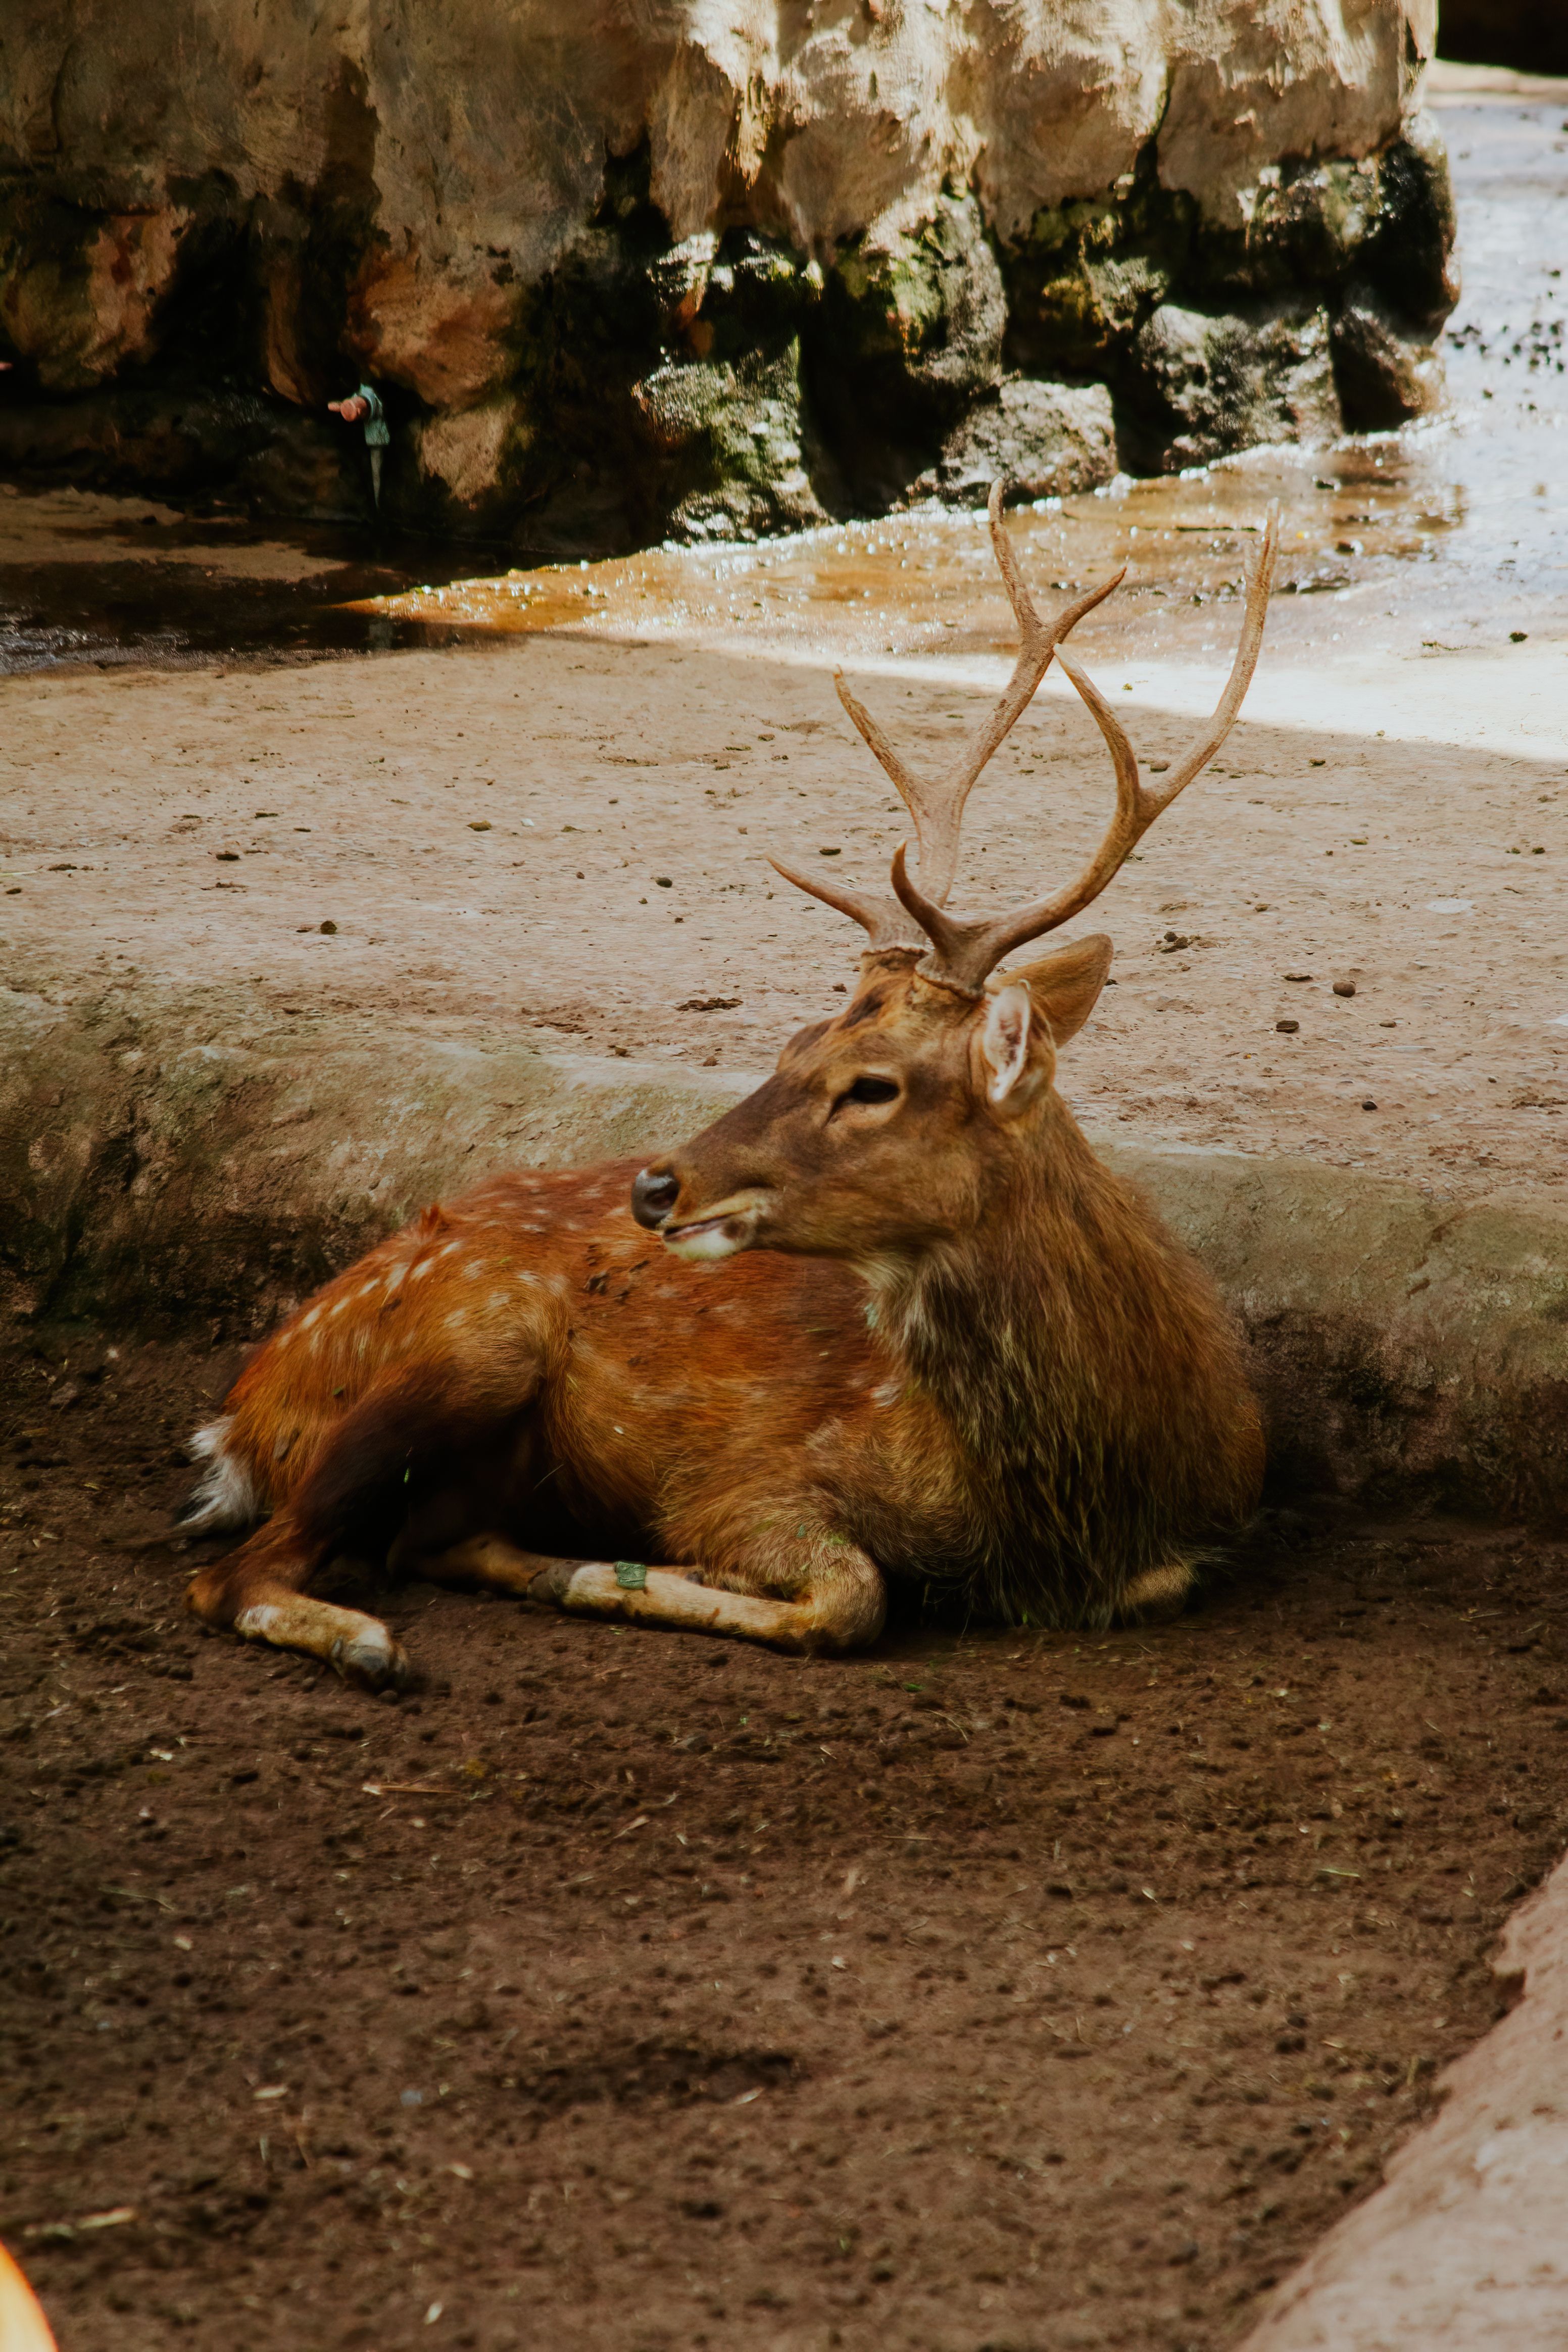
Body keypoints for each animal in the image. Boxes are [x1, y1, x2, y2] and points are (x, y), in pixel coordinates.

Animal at [182, 486, 1278, 1689]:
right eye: (789, 1042)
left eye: (871, 1085)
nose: (656, 1188)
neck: (1083, 1503)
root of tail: (243, 1410)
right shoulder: (741, 1477)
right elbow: (851, 1595)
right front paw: (656, 1579)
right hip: (464, 1342)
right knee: (234, 1574)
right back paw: (378, 1639)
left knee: (417, 1542)